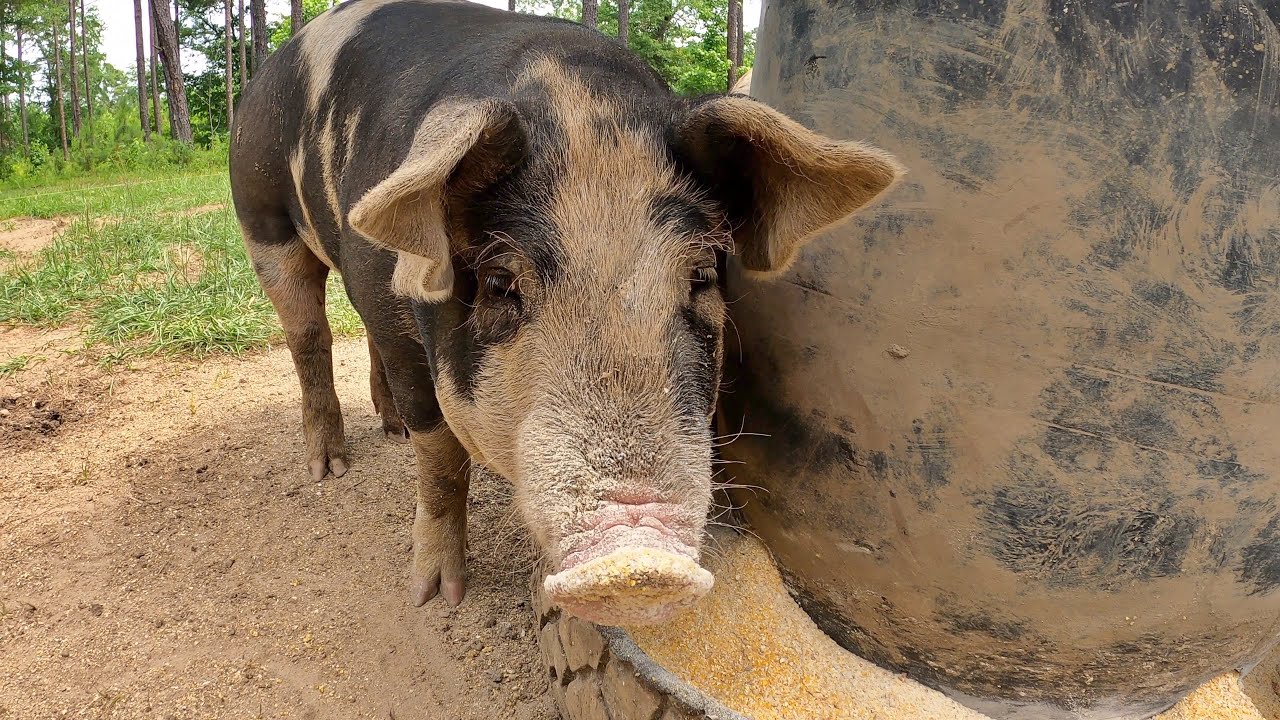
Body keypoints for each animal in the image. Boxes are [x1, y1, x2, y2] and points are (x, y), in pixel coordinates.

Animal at [229, 0, 903, 626]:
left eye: (702, 277)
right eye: (499, 282)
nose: (641, 566)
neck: (574, 100)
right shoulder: (389, 305)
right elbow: (440, 456)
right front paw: (435, 597)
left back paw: (386, 427)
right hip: (261, 219)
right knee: (308, 336)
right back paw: (329, 469)